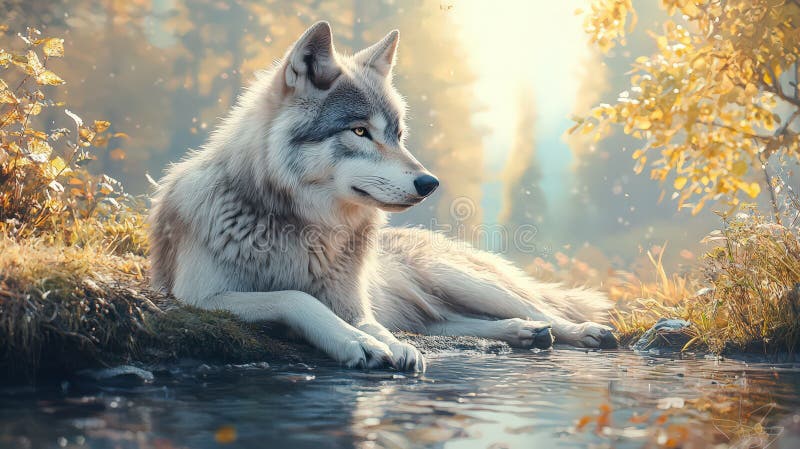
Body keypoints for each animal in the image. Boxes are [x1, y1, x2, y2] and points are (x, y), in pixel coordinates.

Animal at [149, 21, 617, 373]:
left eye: (398, 135)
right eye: (360, 131)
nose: (430, 183)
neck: (305, 229)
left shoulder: (356, 306)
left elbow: (372, 326)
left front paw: (387, 345)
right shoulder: (199, 299)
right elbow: (296, 297)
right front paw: (358, 344)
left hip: (462, 281)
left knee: (543, 309)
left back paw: (580, 331)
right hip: (437, 309)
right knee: (457, 323)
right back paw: (522, 332)